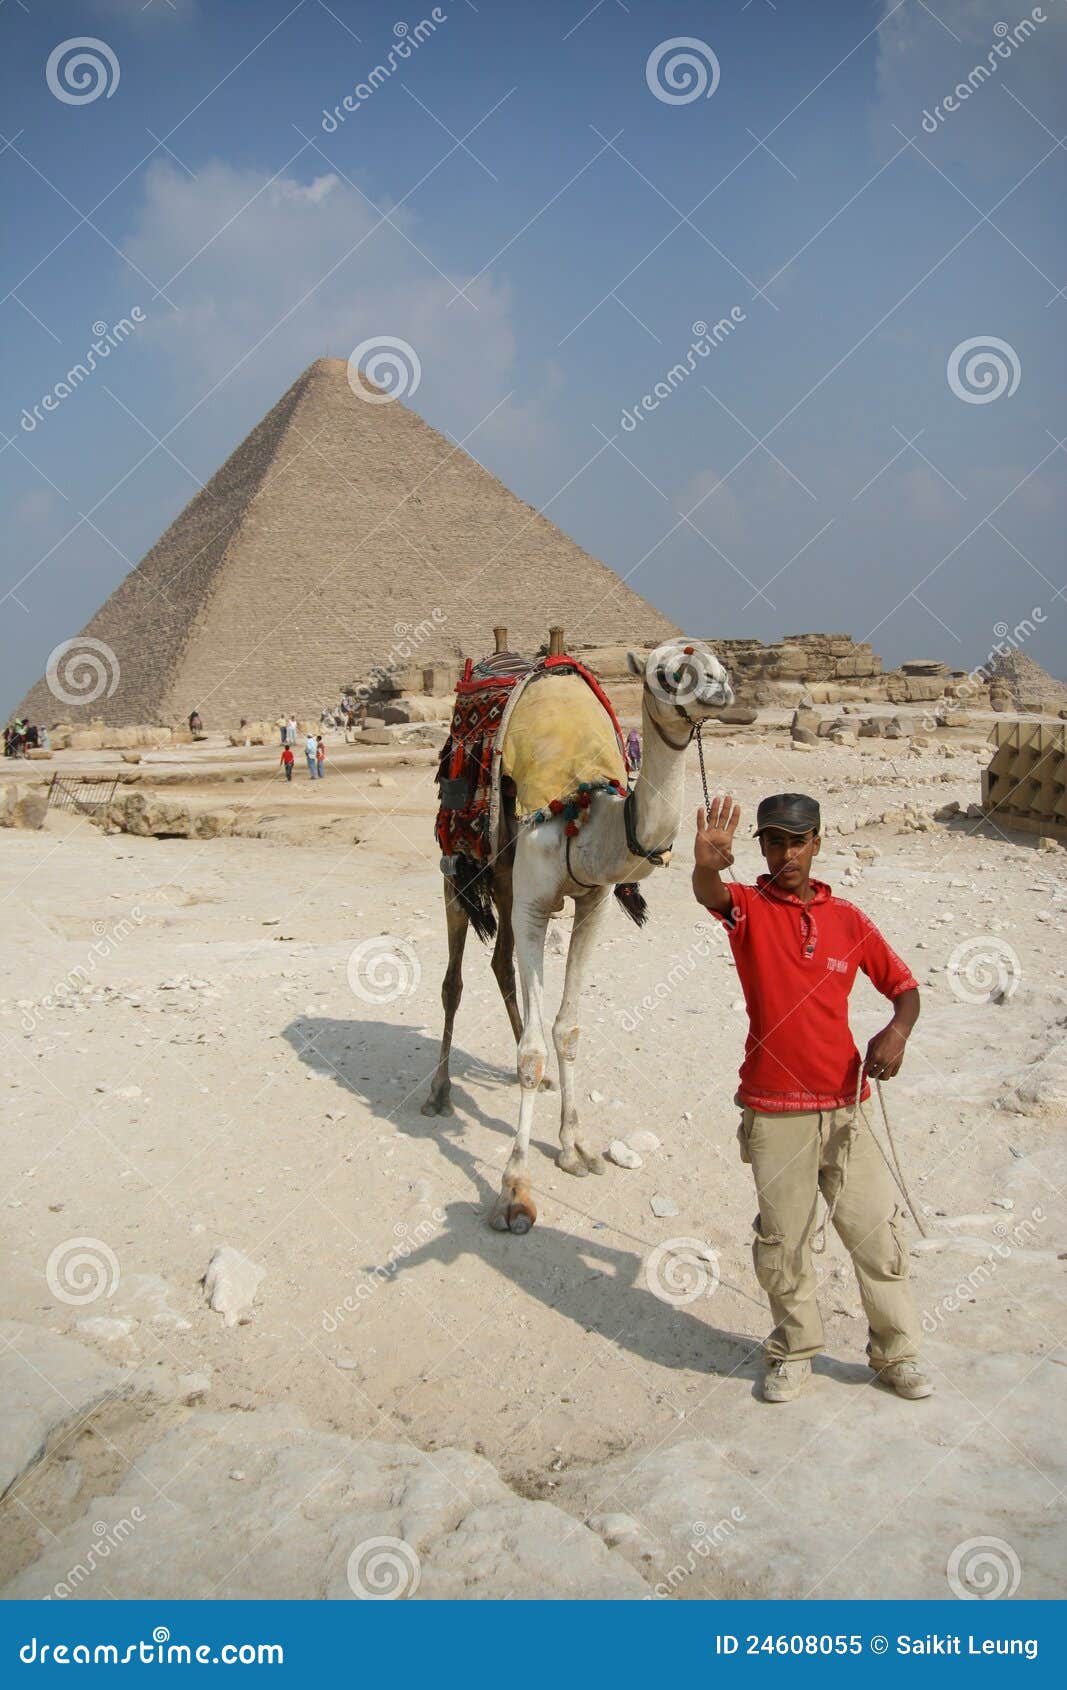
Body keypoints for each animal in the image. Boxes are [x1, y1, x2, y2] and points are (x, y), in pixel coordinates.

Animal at [422, 637, 734, 1234]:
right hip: (458, 869)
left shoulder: (593, 903)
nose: (721, 688)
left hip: (505, 881)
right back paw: (438, 1090)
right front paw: (514, 1190)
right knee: (453, 983)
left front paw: (573, 1146)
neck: (583, 808)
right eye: (666, 672)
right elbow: (531, 1050)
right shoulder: (534, 904)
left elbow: (565, 1032)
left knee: (501, 965)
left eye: (718, 662)